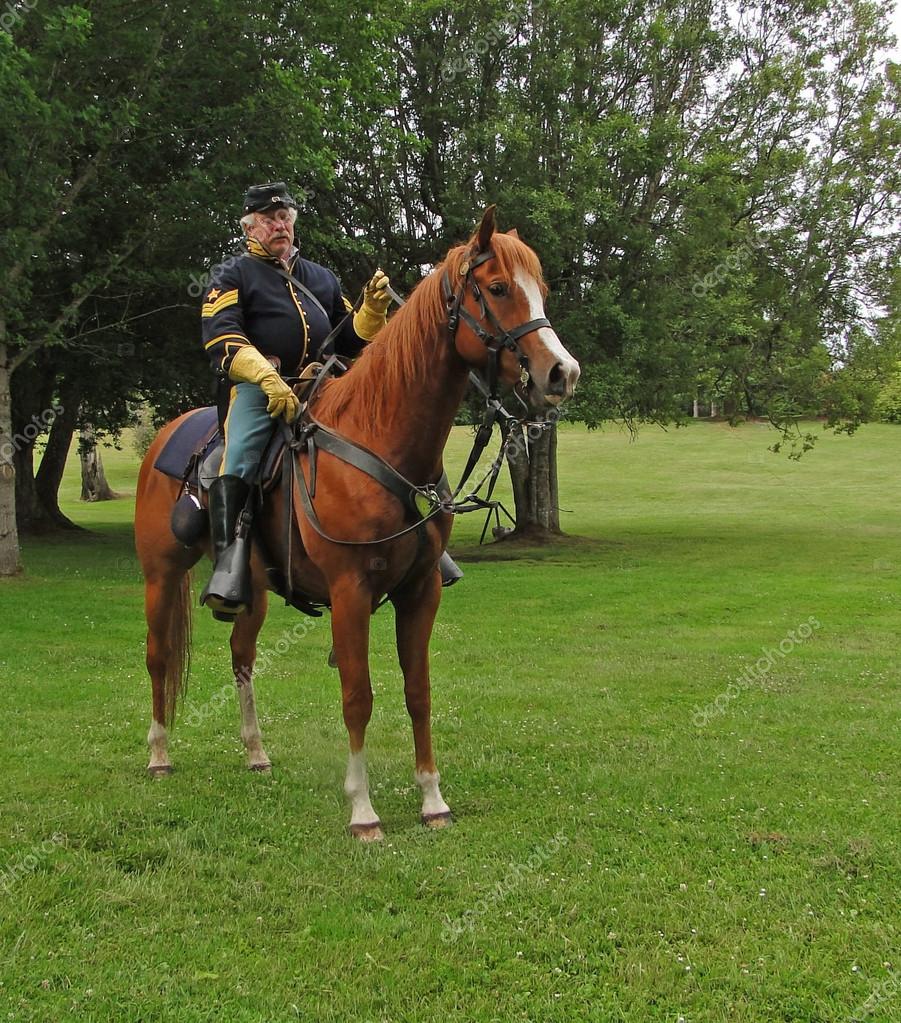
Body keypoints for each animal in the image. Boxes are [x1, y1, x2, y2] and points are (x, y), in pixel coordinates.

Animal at [134, 206, 580, 840]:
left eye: (539, 289)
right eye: (496, 288)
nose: (561, 373)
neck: (381, 438)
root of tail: (170, 434)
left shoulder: (420, 591)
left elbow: (418, 692)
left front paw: (433, 799)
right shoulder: (350, 591)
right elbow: (357, 696)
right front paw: (363, 811)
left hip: (254, 589)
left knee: (242, 657)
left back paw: (255, 752)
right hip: (161, 575)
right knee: (159, 656)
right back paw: (158, 754)